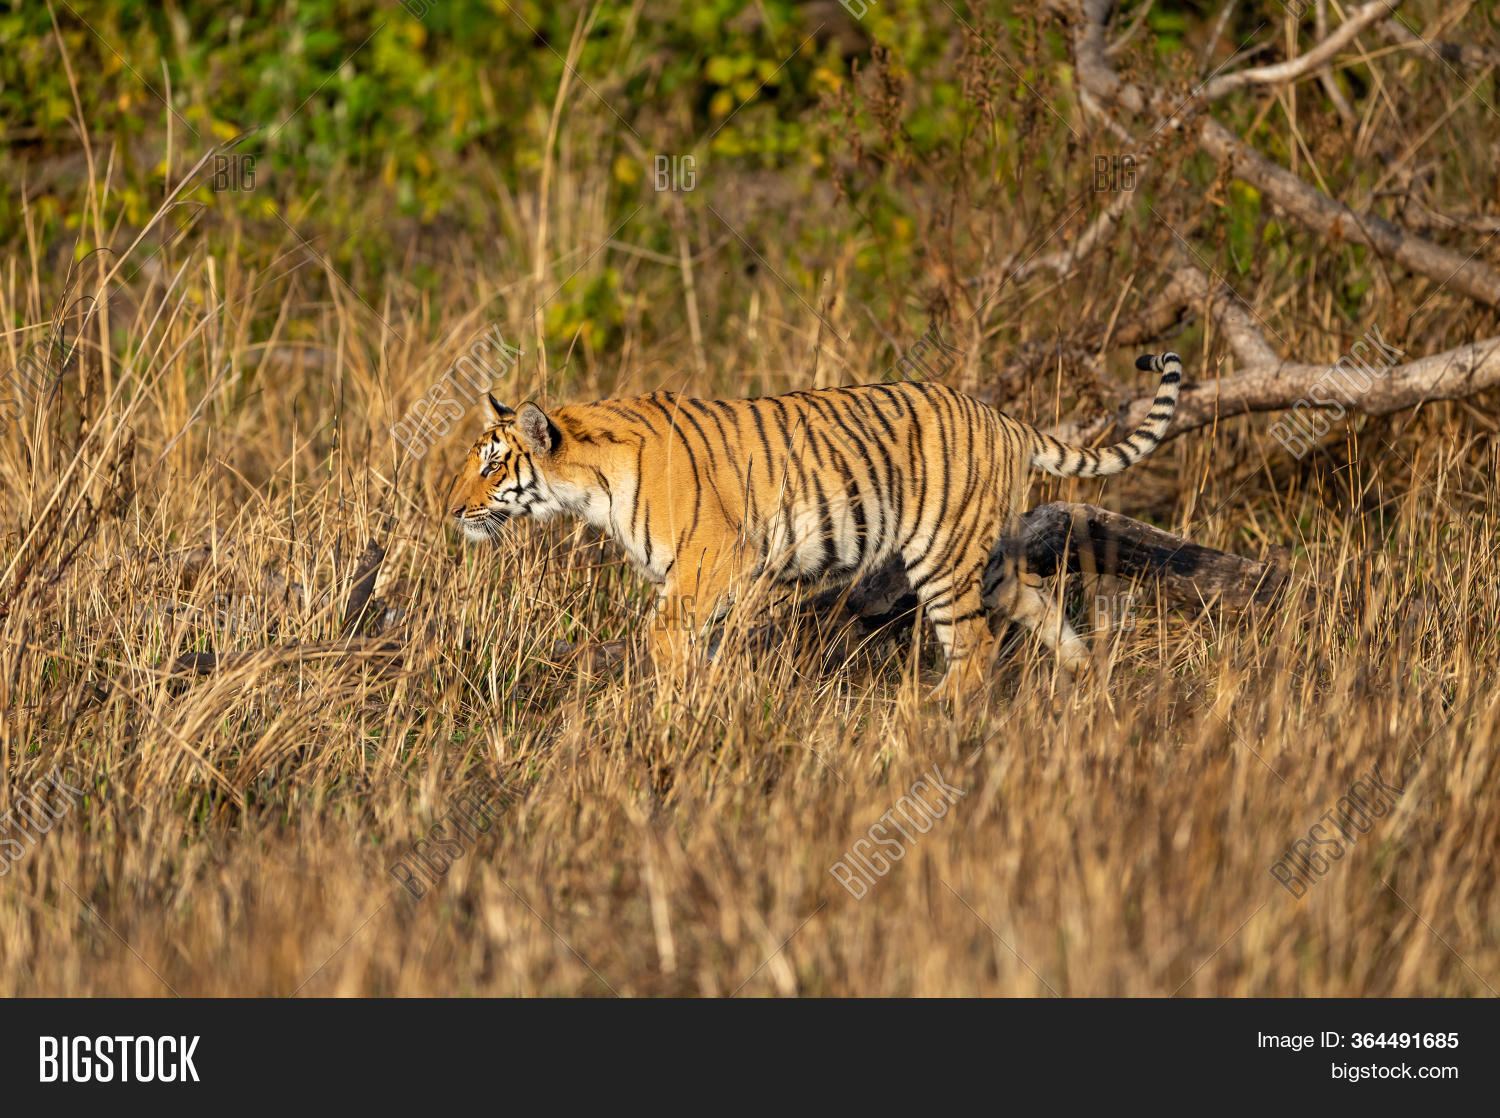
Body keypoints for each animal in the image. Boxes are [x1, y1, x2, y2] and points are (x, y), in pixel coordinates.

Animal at [446, 352, 1182, 703]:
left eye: (491, 465)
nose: (450, 509)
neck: (589, 485)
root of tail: (1002, 416)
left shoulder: (711, 565)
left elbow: (665, 640)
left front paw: (691, 698)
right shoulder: (705, 580)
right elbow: (700, 644)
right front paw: (711, 692)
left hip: (943, 559)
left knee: (974, 651)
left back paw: (930, 712)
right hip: (985, 556)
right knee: (1040, 602)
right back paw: (1088, 682)